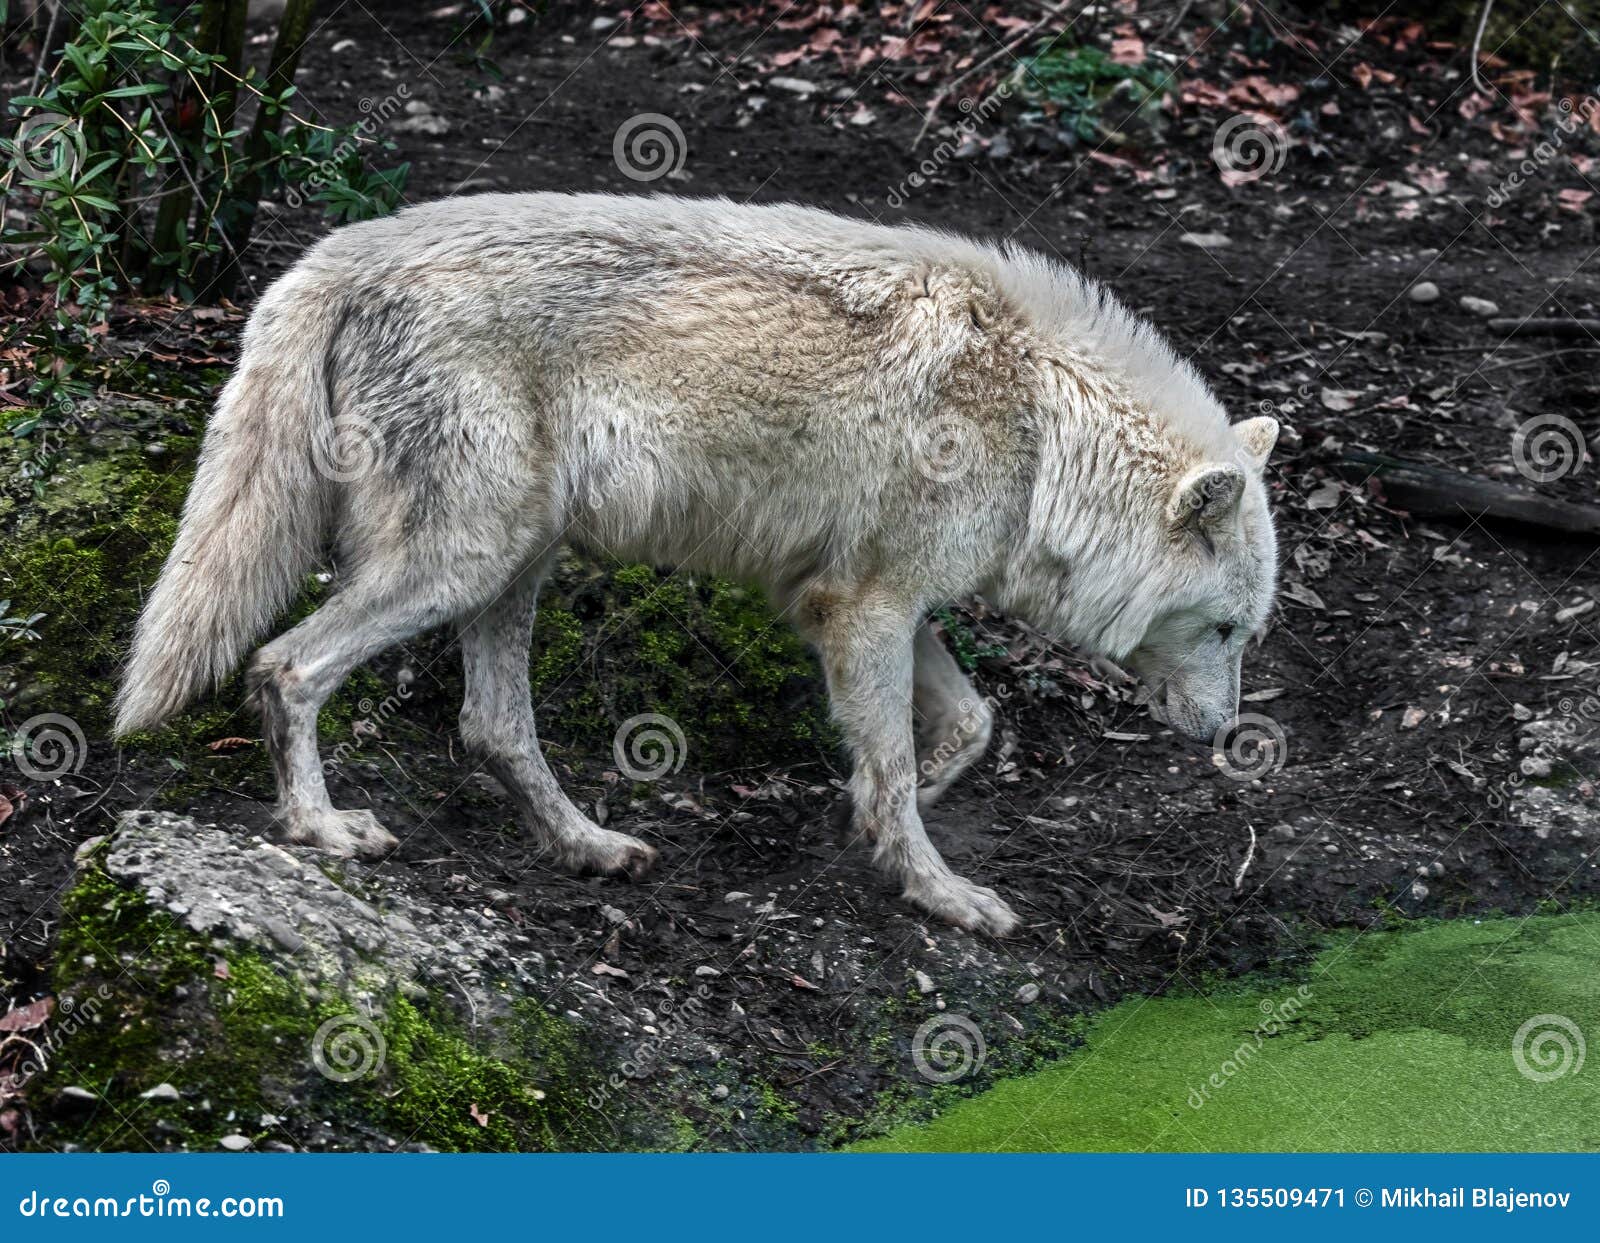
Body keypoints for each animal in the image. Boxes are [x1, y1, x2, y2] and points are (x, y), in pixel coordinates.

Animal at [115, 193, 1278, 936]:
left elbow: (961, 730)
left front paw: (866, 820)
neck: (1042, 424)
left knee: (490, 726)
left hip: (512, 564)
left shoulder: (847, 600)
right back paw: (321, 827)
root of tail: (333, 253)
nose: (1223, 732)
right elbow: (901, 761)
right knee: (287, 666)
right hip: (463, 560)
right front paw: (940, 893)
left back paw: (587, 846)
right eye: (1225, 631)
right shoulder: (868, 606)